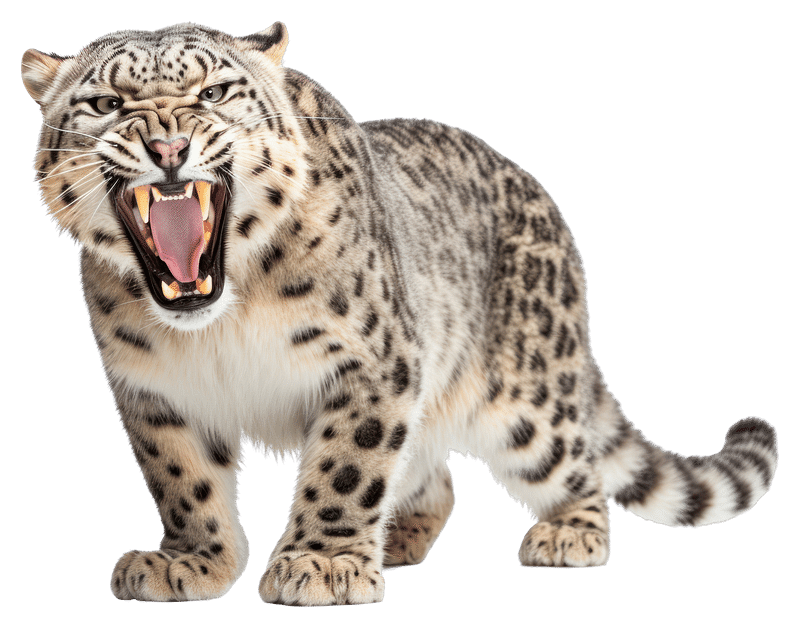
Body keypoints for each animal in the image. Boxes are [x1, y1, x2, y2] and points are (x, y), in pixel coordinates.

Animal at [21, 21, 779, 606]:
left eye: (214, 93)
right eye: (105, 102)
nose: (169, 149)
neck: (224, 318)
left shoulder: (370, 361)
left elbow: (346, 466)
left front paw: (322, 564)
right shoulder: (152, 389)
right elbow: (182, 478)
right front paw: (191, 563)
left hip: (527, 404)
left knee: (574, 463)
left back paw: (567, 534)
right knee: (436, 478)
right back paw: (394, 543)